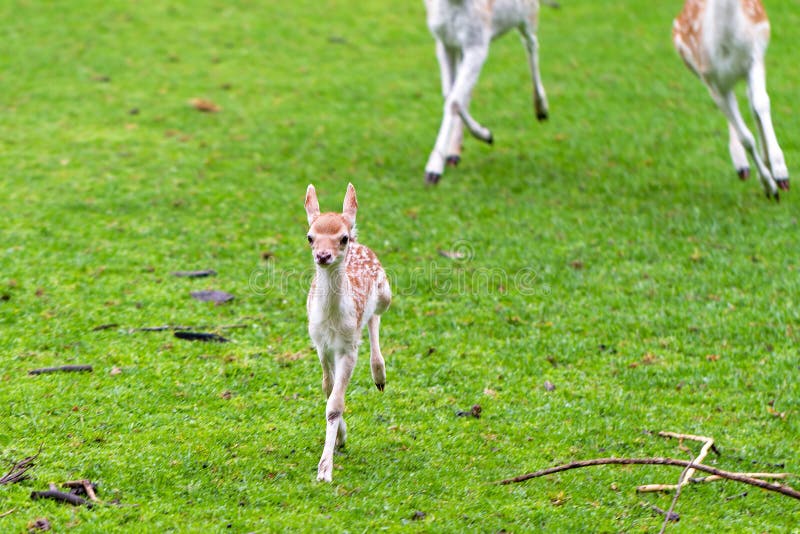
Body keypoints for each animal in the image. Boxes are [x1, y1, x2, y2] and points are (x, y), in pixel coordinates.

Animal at [304, 183, 392, 482]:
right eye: (310, 237)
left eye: (341, 239)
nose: (323, 255)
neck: (332, 321)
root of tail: (359, 241)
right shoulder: (320, 343)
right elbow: (328, 388)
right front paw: (341, 437)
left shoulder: (348, 348)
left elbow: (334, 404)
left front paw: (324, 471)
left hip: (386, 292)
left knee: (375, 317)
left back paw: (379, 374)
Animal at [423, 0, 549, 184]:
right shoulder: (444, 41)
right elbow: (450, 96)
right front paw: (487, 135)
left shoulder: (478, 44)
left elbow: (454, 101)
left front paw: (433, 172)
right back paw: (454, 154)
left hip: (527, 15)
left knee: (531, 44)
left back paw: (541, 111)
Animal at [673, 0, 789, 200]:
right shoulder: (711, 80)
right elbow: (746, 138)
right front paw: (769, 185)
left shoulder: (755, 57)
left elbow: (761, 104)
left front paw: (781, 173)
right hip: (708, 77)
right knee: (734, 109)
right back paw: (742, 166)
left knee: (751, 103)